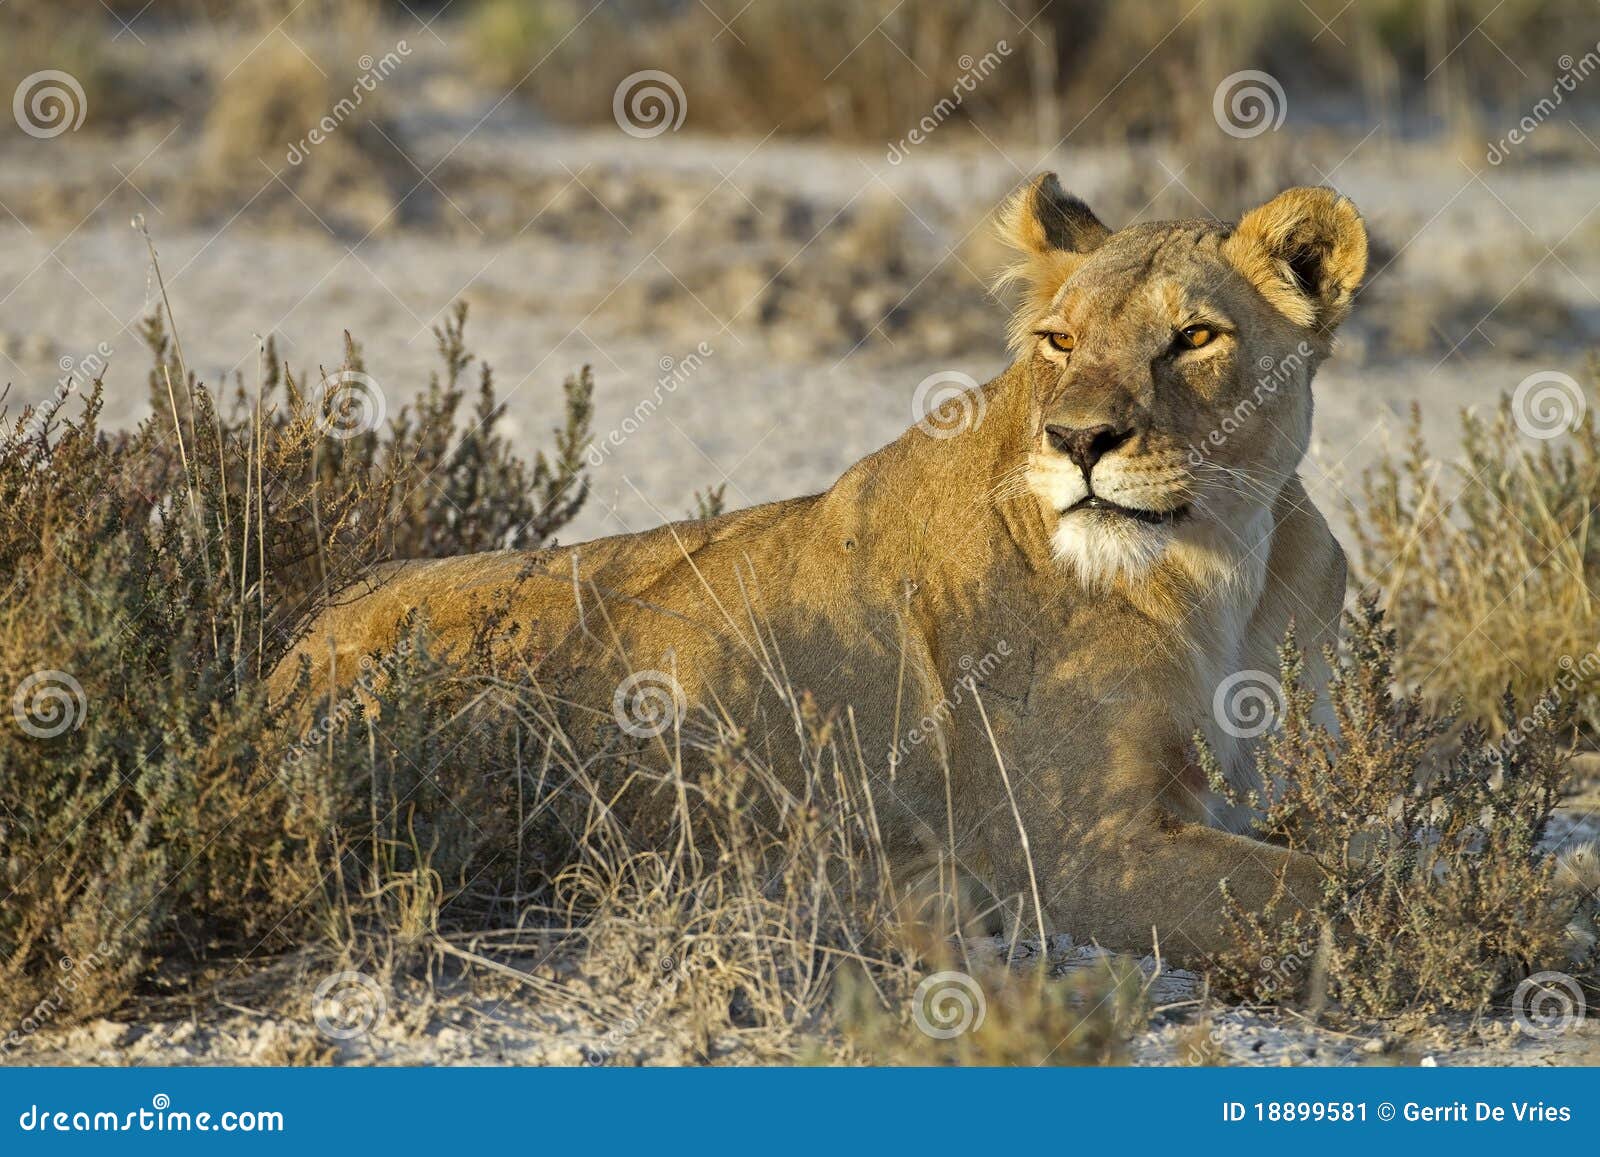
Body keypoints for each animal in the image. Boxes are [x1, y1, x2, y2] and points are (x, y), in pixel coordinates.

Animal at [269, 174, 1367, 962]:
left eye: (1195, 337)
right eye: (1060, 340)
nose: (1080, 439)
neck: (1219, 562)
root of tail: (289, 649)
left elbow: (1353, 855)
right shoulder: (1075, 854)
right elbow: (1331, 885)